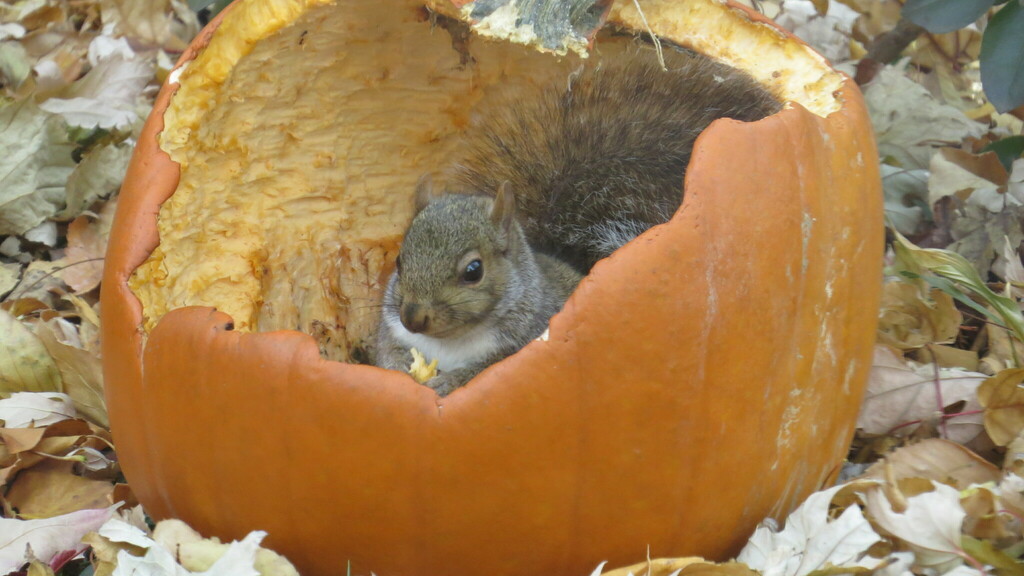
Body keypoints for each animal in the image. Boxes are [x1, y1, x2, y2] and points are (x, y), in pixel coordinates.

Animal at [374, 50, 781, 395]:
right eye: (400, 261)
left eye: (473, 271)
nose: (413, 318)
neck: (449, 343)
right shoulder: (391, 328)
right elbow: (385, 349)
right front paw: (399, 367)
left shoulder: (523, 344)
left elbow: (483, 371)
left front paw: (449, 381)